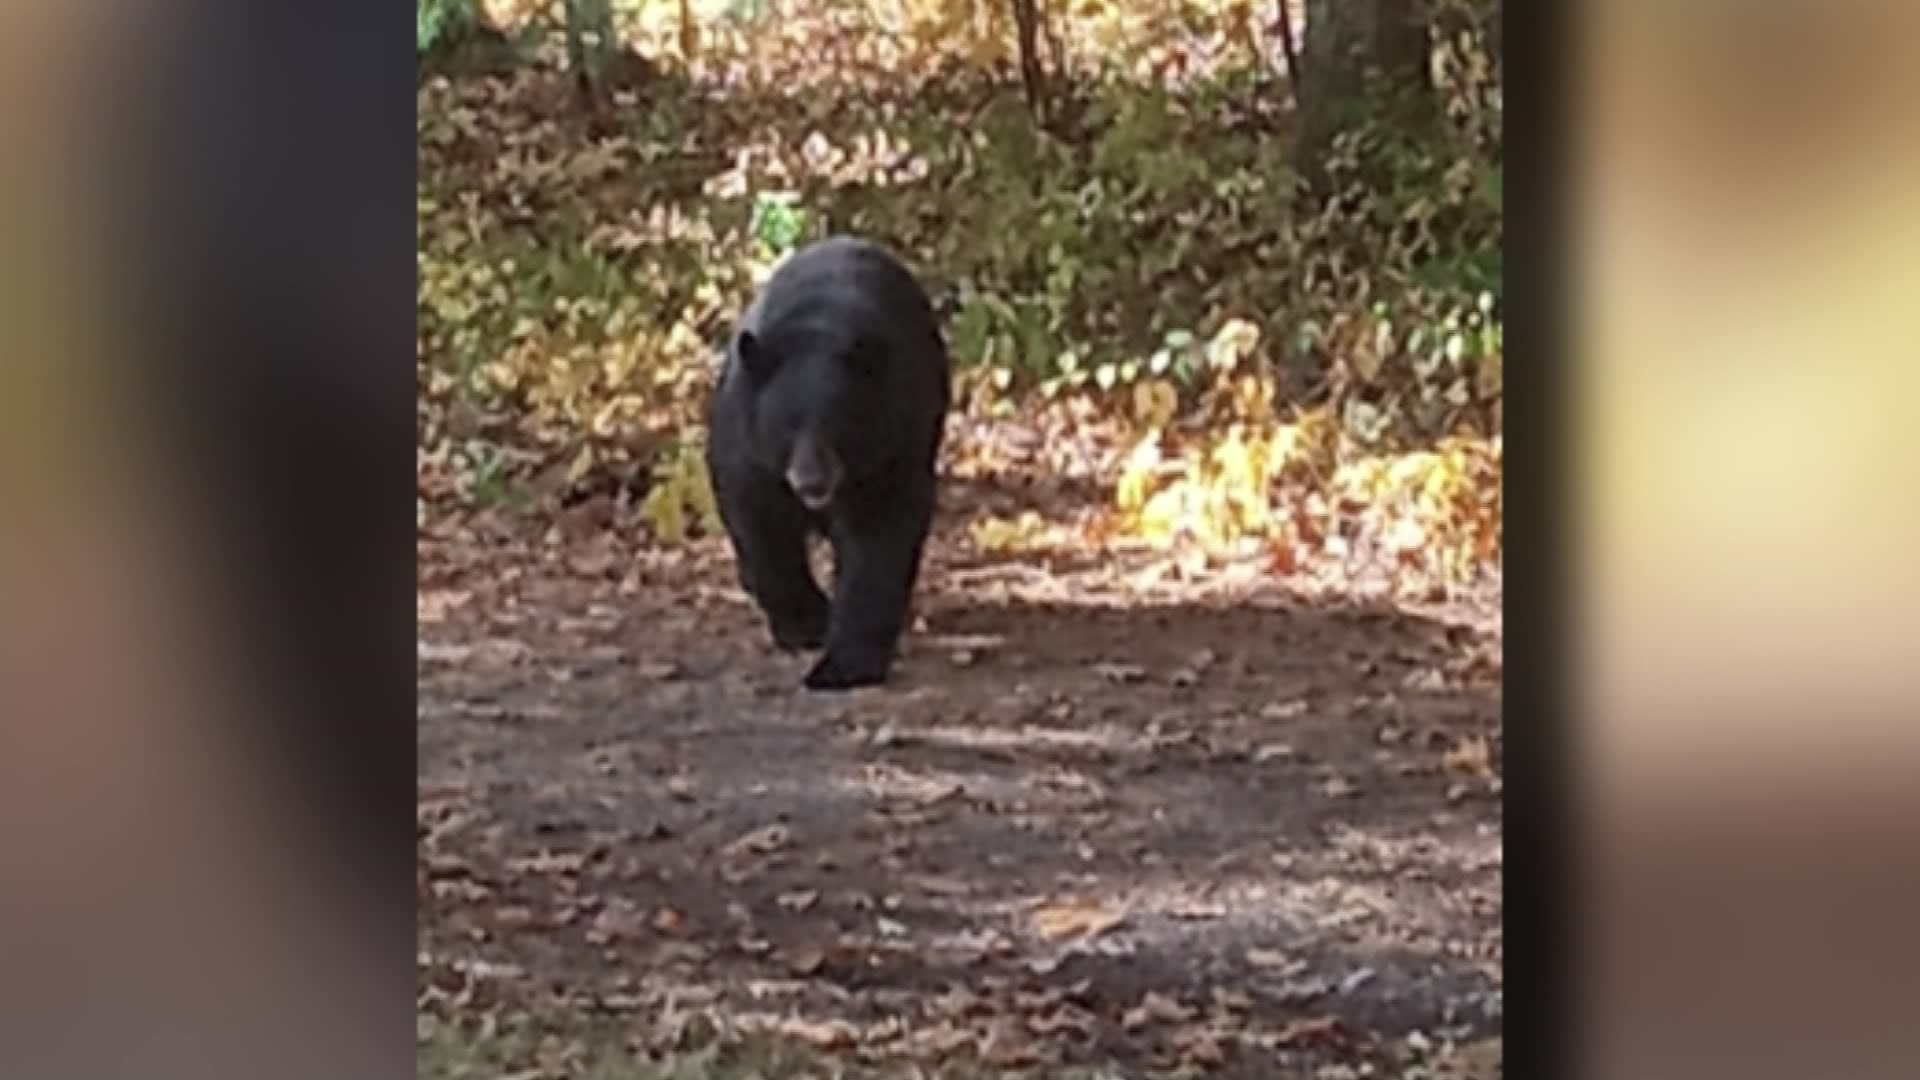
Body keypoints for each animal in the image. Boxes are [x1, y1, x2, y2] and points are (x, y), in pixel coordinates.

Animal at [704, 236, 952, 691]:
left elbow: (879, 539)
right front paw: (803, 623)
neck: (817, 334)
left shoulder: (889, 447)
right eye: (787, 424)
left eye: (840, 421)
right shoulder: (747, 446)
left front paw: (844, 664)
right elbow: (760, 524)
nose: (812, 482)